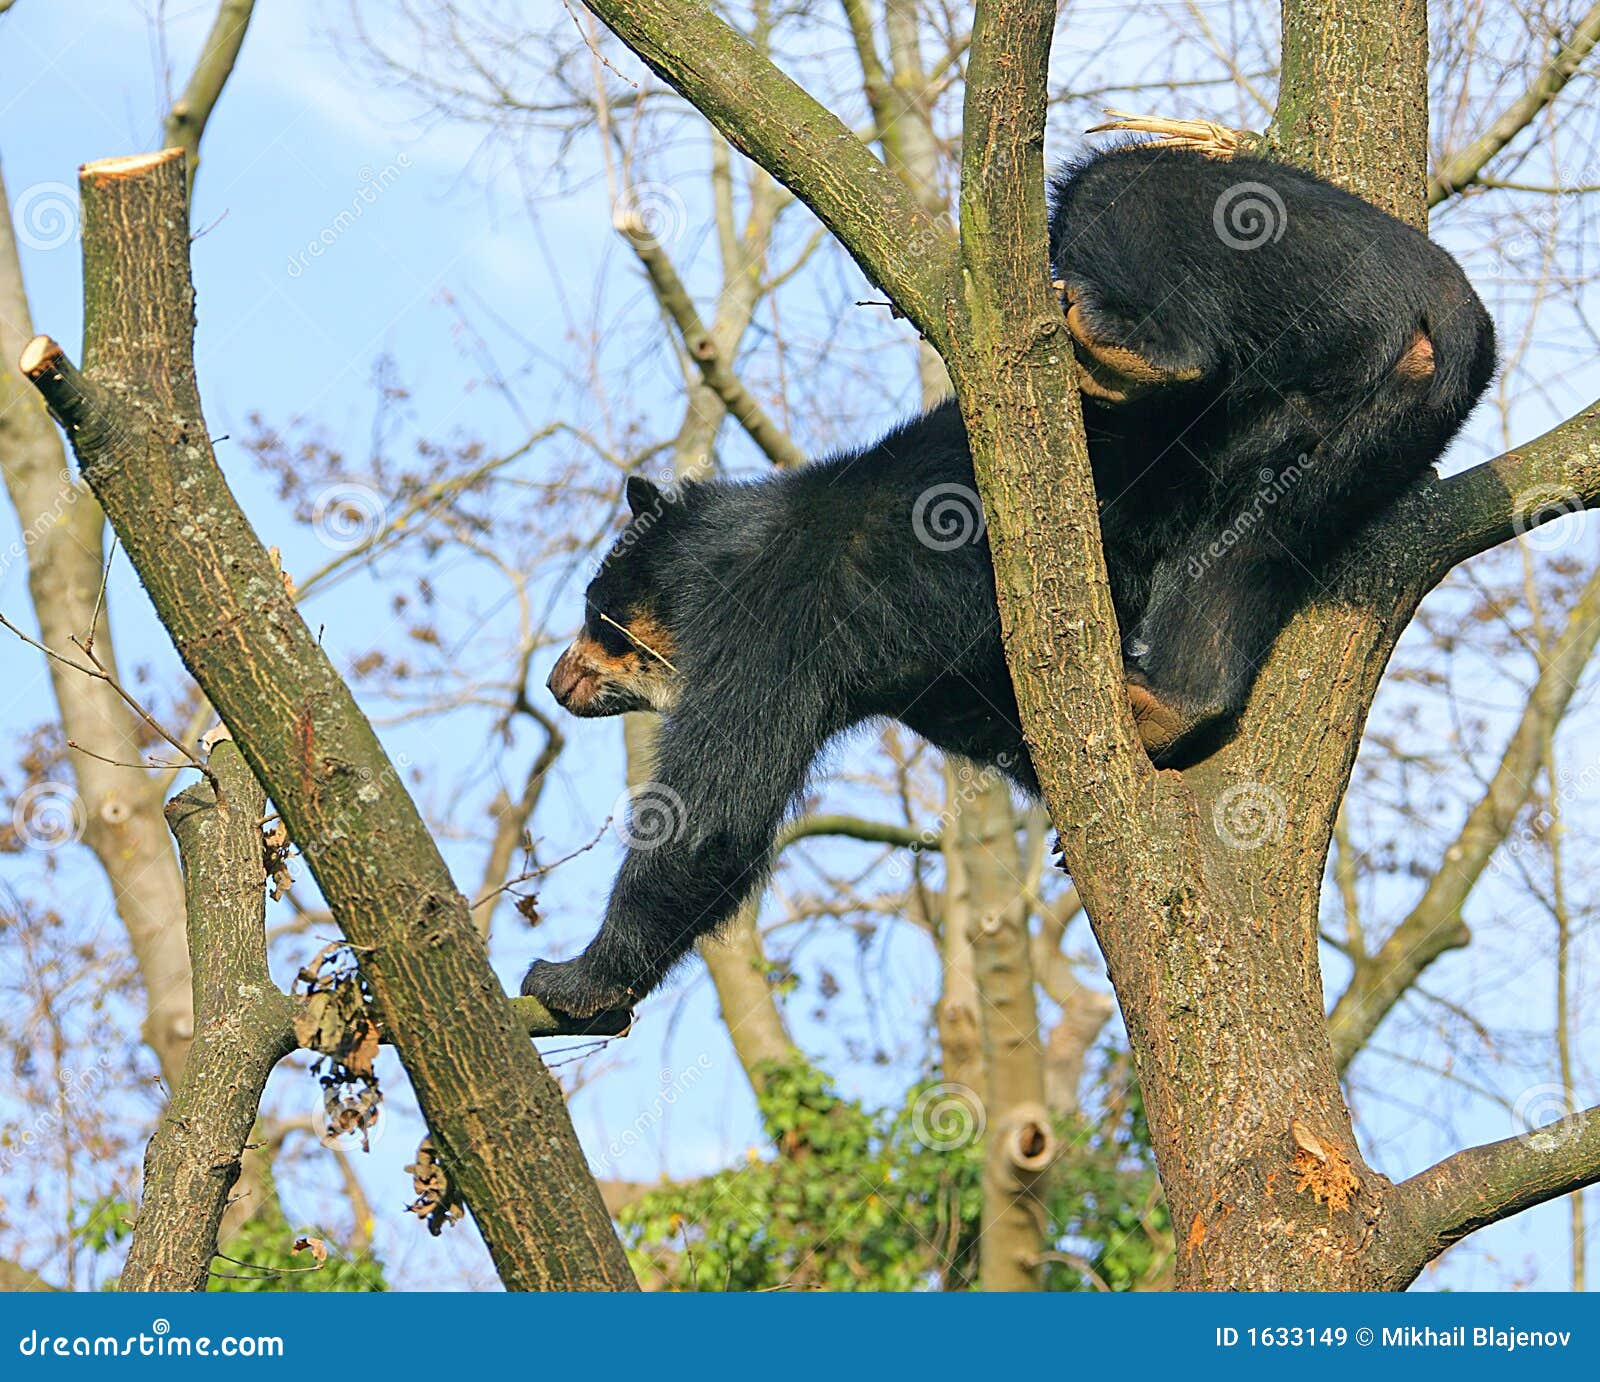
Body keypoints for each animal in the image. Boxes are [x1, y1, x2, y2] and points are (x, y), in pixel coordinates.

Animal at [520, 142, 1495, 1019]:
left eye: (600, 622)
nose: (558, 683)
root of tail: (1450, 316)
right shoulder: (916, 673)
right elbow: (994, 715)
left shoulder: (775, 628)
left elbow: (713, 808)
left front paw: (570, 979)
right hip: (1349, 433)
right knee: (1251, 548)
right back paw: (1169, 707)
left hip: (1300, 272)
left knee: (1117, 190)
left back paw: (1118, 348)